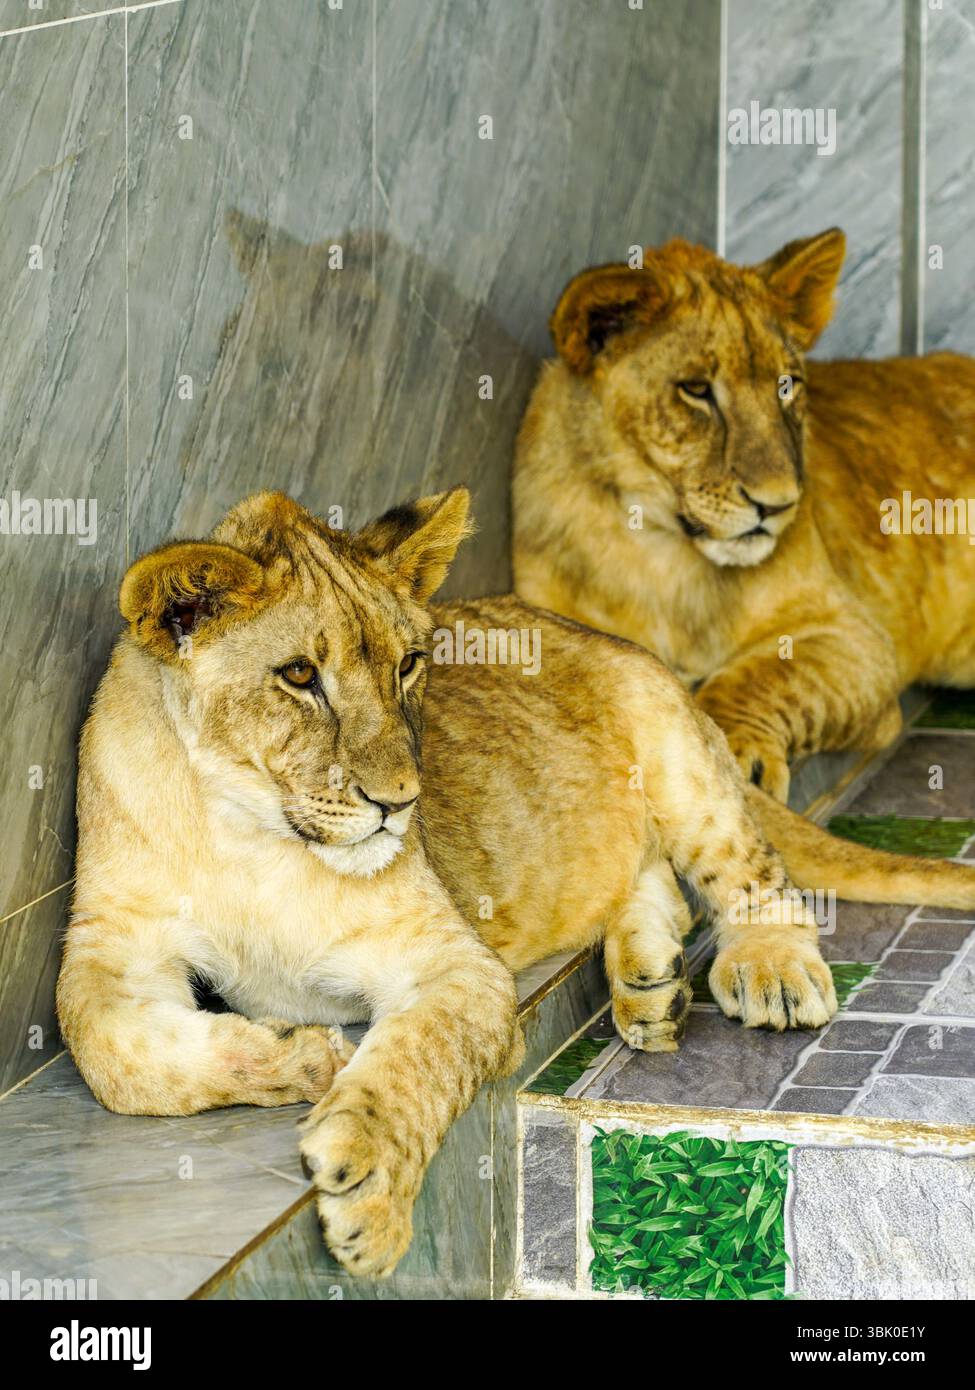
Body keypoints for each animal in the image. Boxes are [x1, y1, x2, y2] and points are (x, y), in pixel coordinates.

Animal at [57, 488, 975, 1277]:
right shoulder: (108, 941)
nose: (402, 802)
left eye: (409, 666)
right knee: (654, 880)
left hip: (677, 748)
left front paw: (369, 1191)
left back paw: (768, 971)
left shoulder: (459, 966)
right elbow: (104, 1049)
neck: (243, 835)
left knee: (748, 874)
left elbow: (417, 1062)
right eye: (297, 677)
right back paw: (649, 984)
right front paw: (292, 1055)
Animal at [512, 228, 975, 803]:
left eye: (787, 385)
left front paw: (732, 753)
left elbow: (761, 676)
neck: (661, 553)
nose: (776, 504)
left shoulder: (854, 633)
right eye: (696, 390)